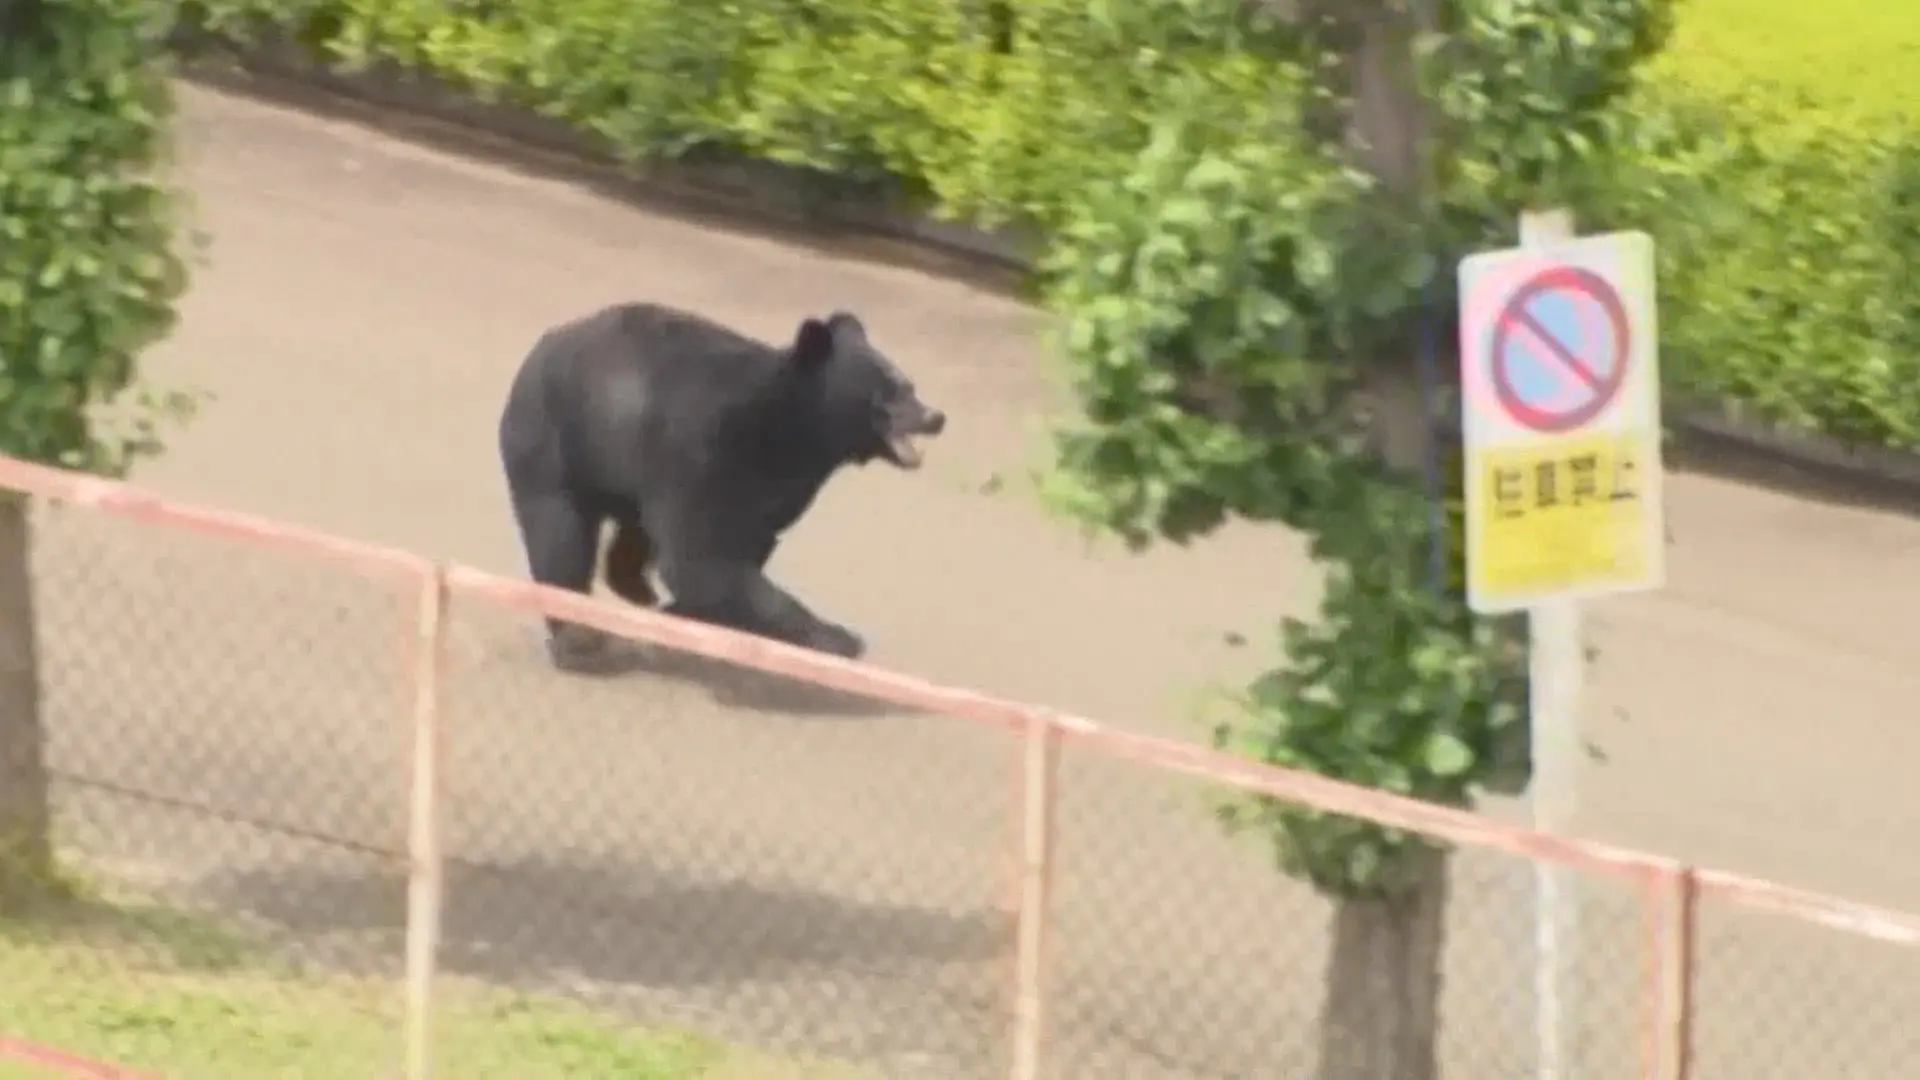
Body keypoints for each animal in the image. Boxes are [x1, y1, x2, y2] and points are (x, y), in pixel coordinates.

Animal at [497, 301, 945, 673]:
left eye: (910, 385)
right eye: (890, 391)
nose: (936, 417)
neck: (797, 431)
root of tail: (547, 341)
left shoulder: (778, 487)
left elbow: (742, 547)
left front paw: (679, 613)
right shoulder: (705, 446)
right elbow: (700, 557)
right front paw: (839, 638)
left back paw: (635, 587)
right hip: (556, 439)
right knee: (560, 532)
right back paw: (579, 637)